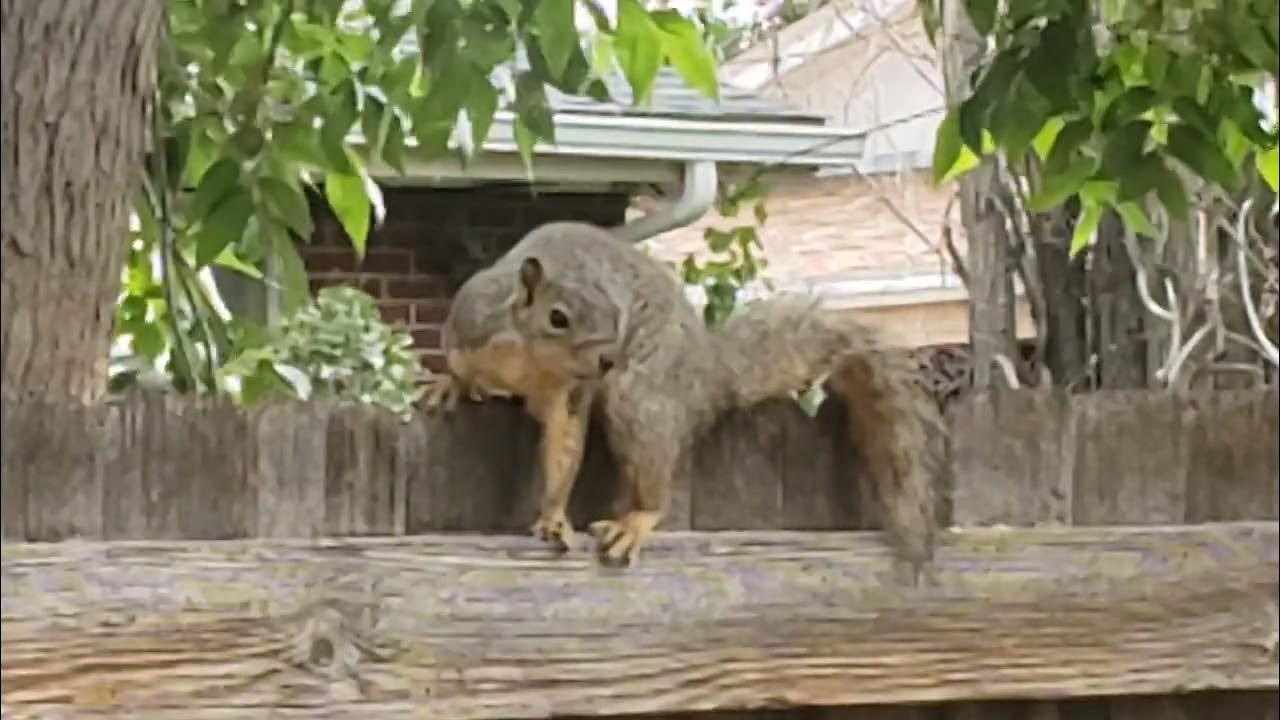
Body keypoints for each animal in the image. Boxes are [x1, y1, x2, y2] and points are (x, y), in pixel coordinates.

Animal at [425, 221, 946, 570]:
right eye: (558, 317)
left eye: (615, 318)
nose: (608, 359)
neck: (532, 363)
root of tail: (705, 368)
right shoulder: (470, 325)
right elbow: (460, 365)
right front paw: (449, 384)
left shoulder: (571, 394)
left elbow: (564, 450)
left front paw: (554, 517)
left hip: (641, 400)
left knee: (652, 473)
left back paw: (635, 521)